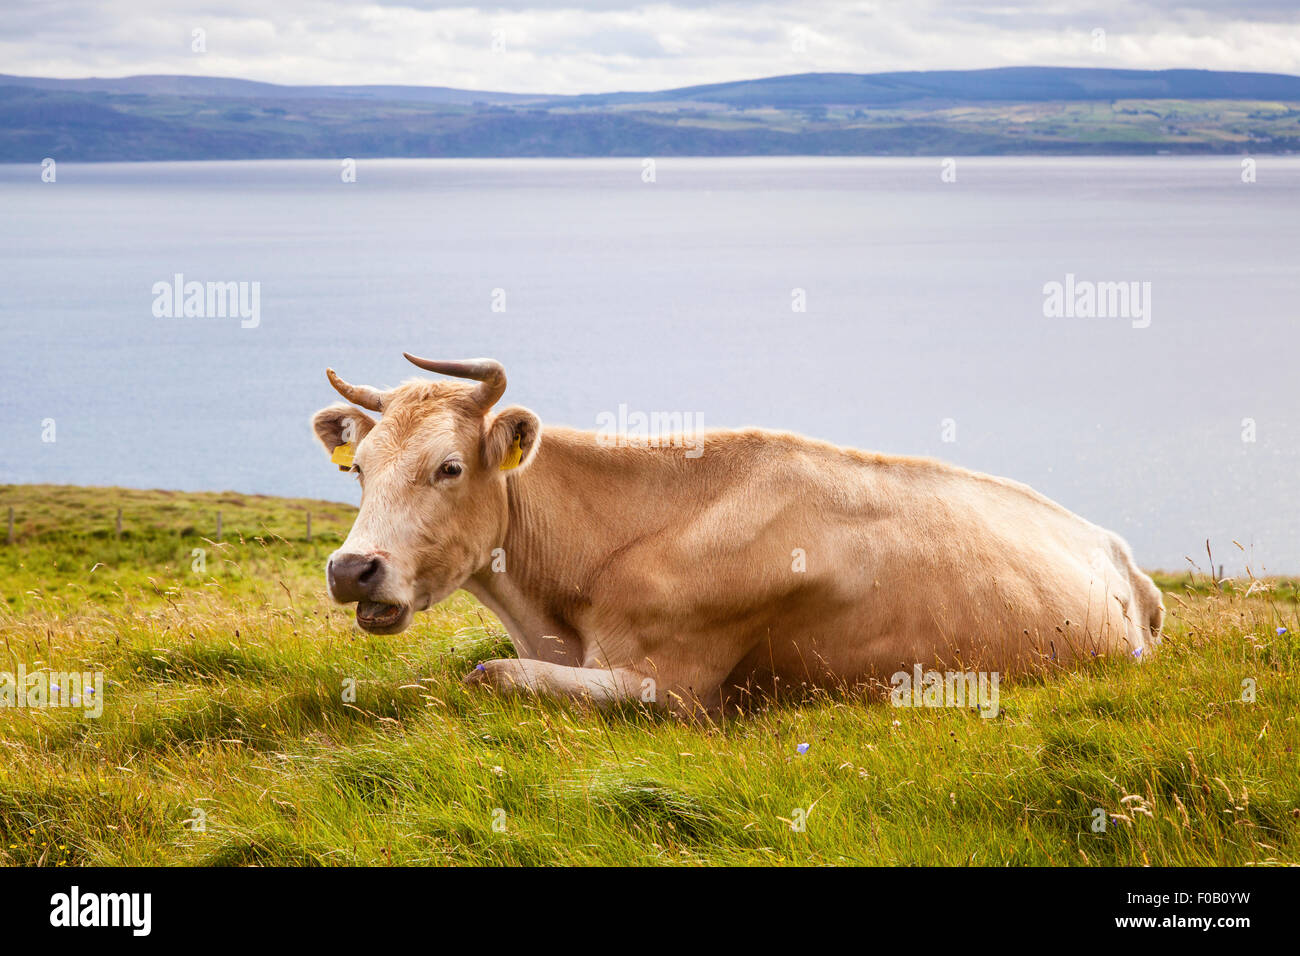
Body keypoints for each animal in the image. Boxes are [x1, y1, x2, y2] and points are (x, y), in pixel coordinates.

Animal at [312, 354, 1164, 717]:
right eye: (361, 470)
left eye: (449, 467)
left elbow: (485, 674)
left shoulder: (668, 683)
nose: (352, 570)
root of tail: (1117, 550)